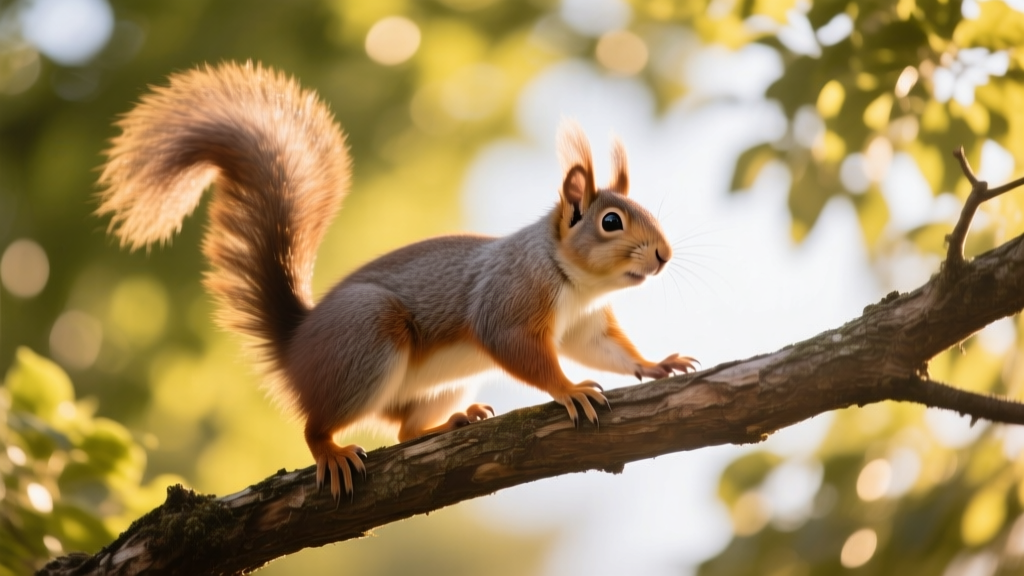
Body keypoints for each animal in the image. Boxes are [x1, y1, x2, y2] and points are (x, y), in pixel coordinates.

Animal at [97, 62, 697, 499]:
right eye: (610, 221)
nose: (664, 254)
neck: (573, 282)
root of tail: (296, 347)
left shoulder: (583, 326)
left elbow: (606, 350)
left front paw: (656, 364)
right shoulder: (509, 299)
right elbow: (522, 350)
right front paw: (569, 389)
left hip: (440, 381)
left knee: (406, 430)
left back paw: (452, 422)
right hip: (366, 342)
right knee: (318, 424)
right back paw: (332, 451)